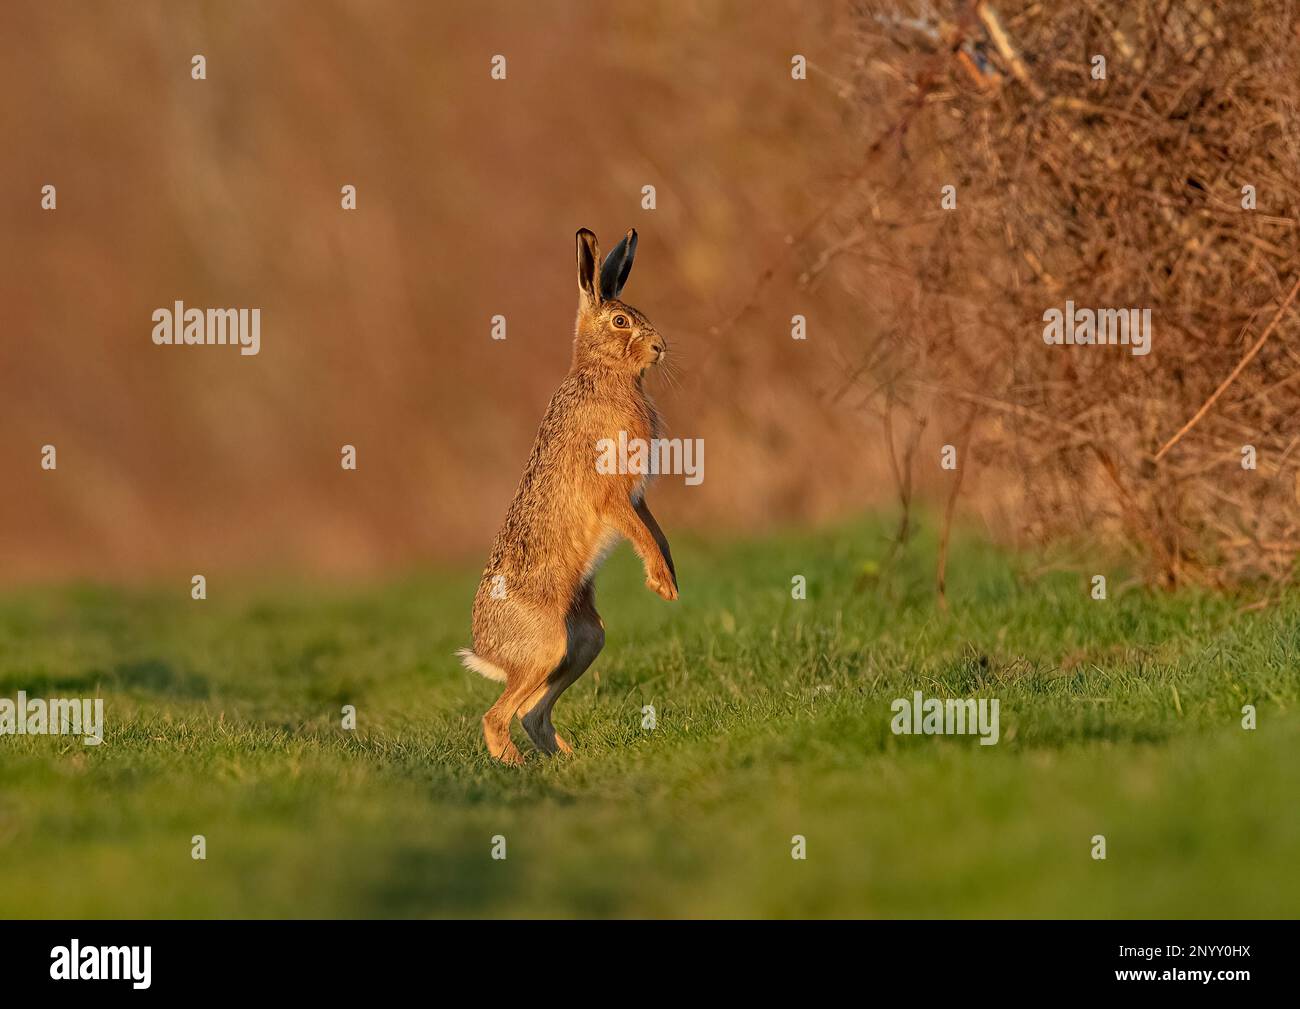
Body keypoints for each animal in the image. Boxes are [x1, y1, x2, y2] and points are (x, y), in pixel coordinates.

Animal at [457, 227, 677, 764]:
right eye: (620, 321)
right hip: (548, 646)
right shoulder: (613, 496)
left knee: (531, 712)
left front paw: (669, 579)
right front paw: (662, 585)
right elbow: (641, 533)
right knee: (499, 715)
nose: (660, 347)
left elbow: (655, 532)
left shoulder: (636, 498)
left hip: (585, 640)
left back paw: (567, 760)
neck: (603, 375)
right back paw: (516, 766)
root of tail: (487, 649)